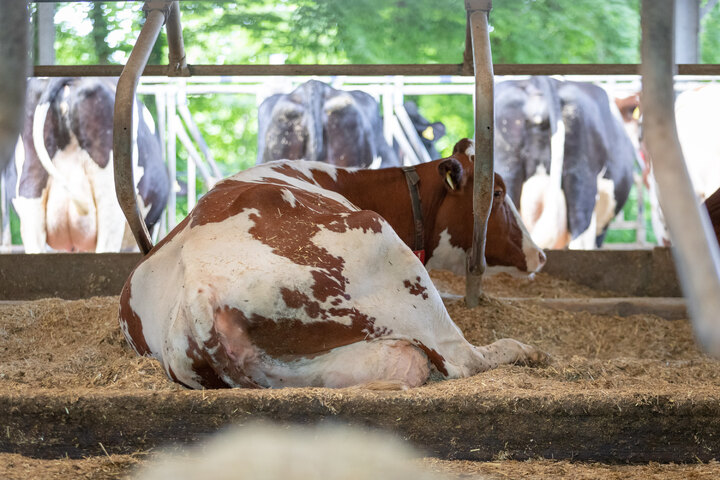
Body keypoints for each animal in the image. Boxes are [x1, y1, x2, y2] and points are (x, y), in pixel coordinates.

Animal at [119, 139, 547, 390]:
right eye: (497, 193)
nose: (540, 254)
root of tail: (198, 290)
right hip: (388, 251)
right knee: (464, 359)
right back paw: (527, 351)